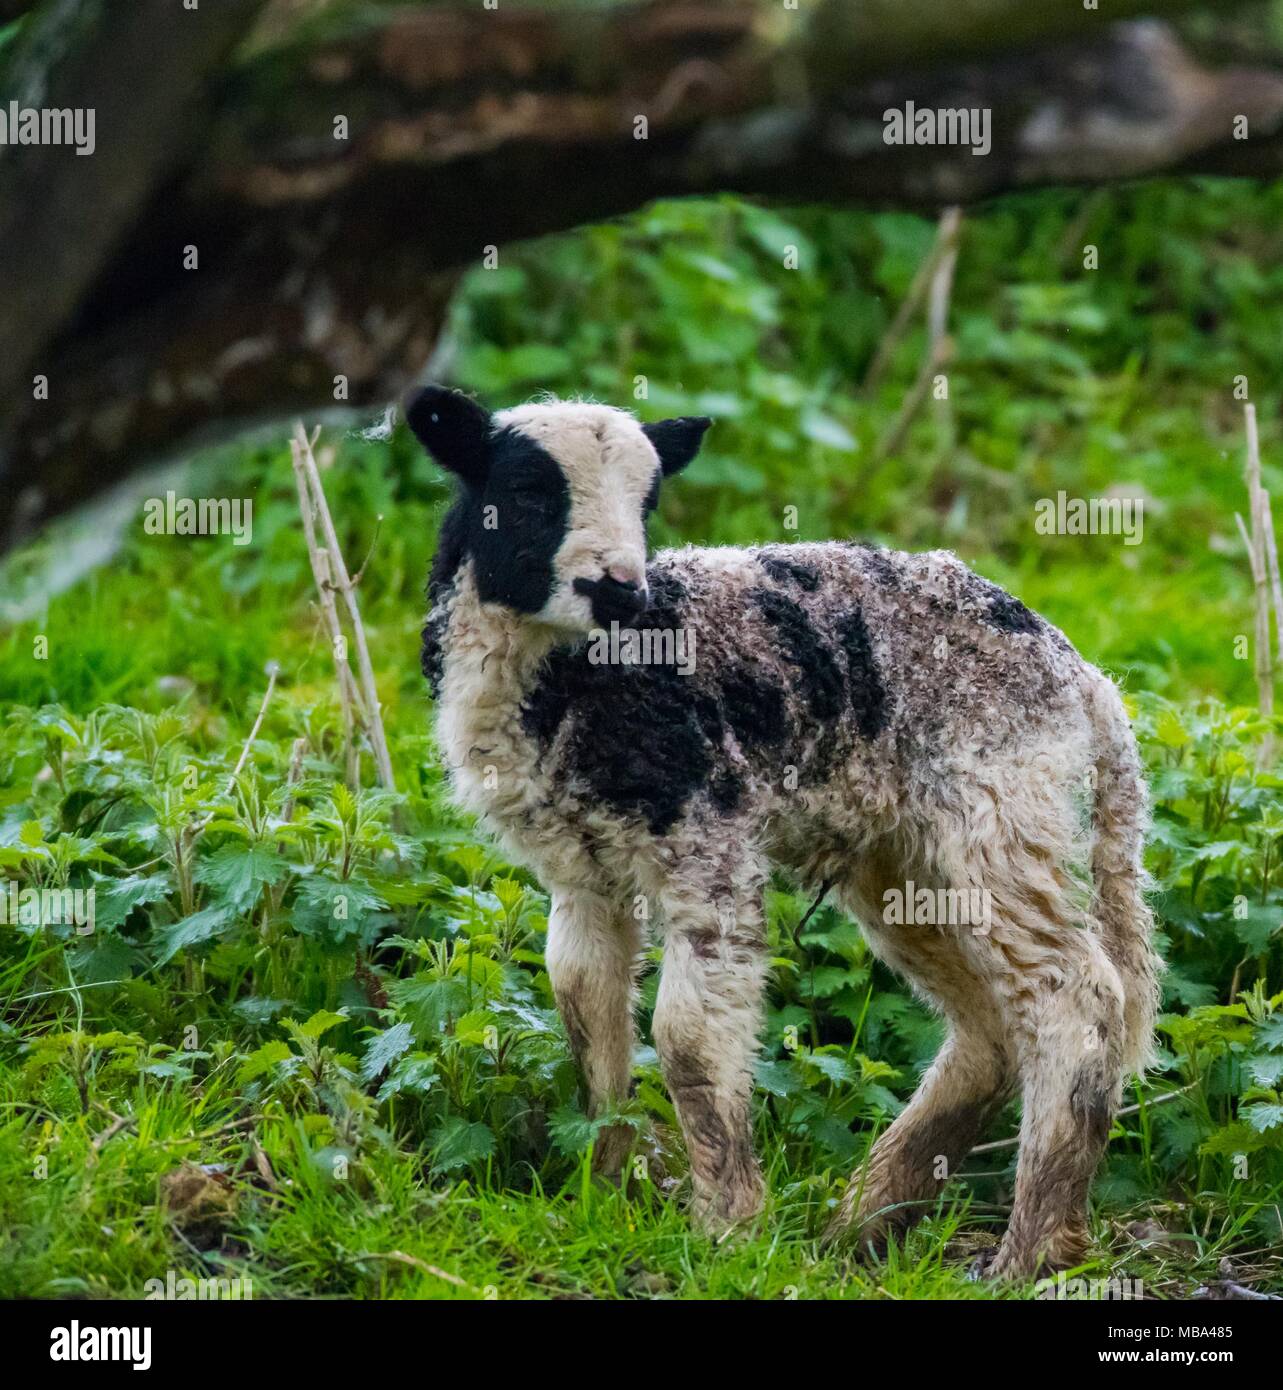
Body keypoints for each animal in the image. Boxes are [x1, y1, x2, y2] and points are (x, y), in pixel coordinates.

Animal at [407, 384, 1161, 1279]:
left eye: (647, 501)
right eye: (527, 490)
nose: (621, 591)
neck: (582, 680)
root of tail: (1083, 678)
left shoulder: (709, 836)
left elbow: (688, 1039)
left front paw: (727, 1227)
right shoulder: (579, 869)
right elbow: (586, 1020)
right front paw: (602, 1194)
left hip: (1002, 812)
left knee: (1071, 1000)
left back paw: (1031, 1250)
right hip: (905, 857)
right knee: (989, 1027)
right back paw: (864, 1220)